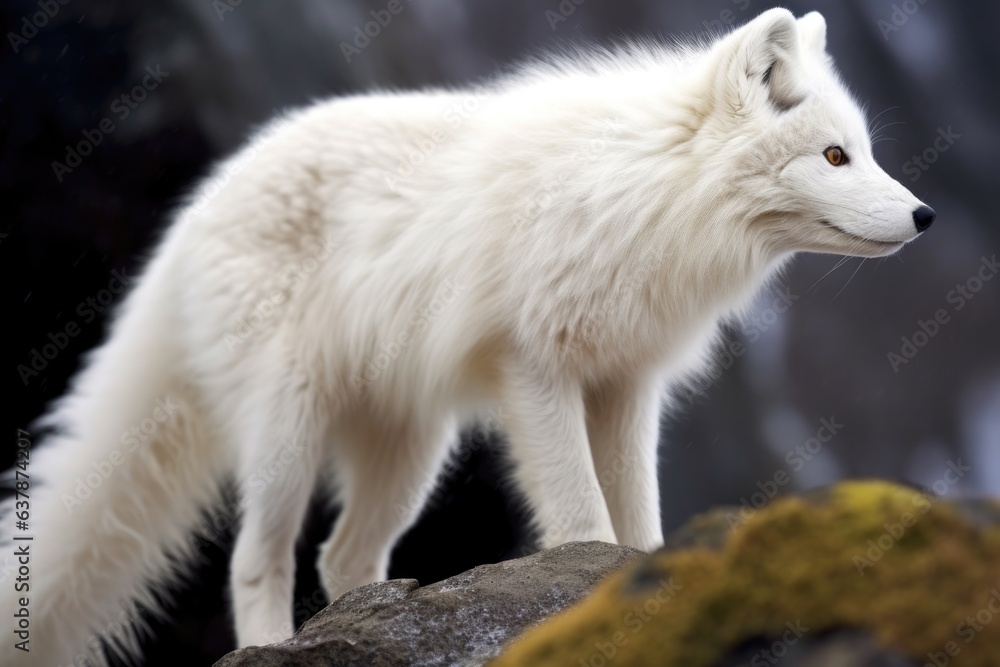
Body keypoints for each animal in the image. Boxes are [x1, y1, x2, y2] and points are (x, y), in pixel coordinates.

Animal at [1, 8, 935, 666]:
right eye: (835, 156)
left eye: (864, 151)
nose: (925, 216)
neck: (640, 191)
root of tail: (199, 206)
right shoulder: (534, 366)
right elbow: (581, 513)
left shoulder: (626, 383)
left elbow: (639, 519)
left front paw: (646, 583)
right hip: (289, 435)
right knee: (256, 561)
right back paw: (271, 646)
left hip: (412, 449)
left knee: (342, 557)